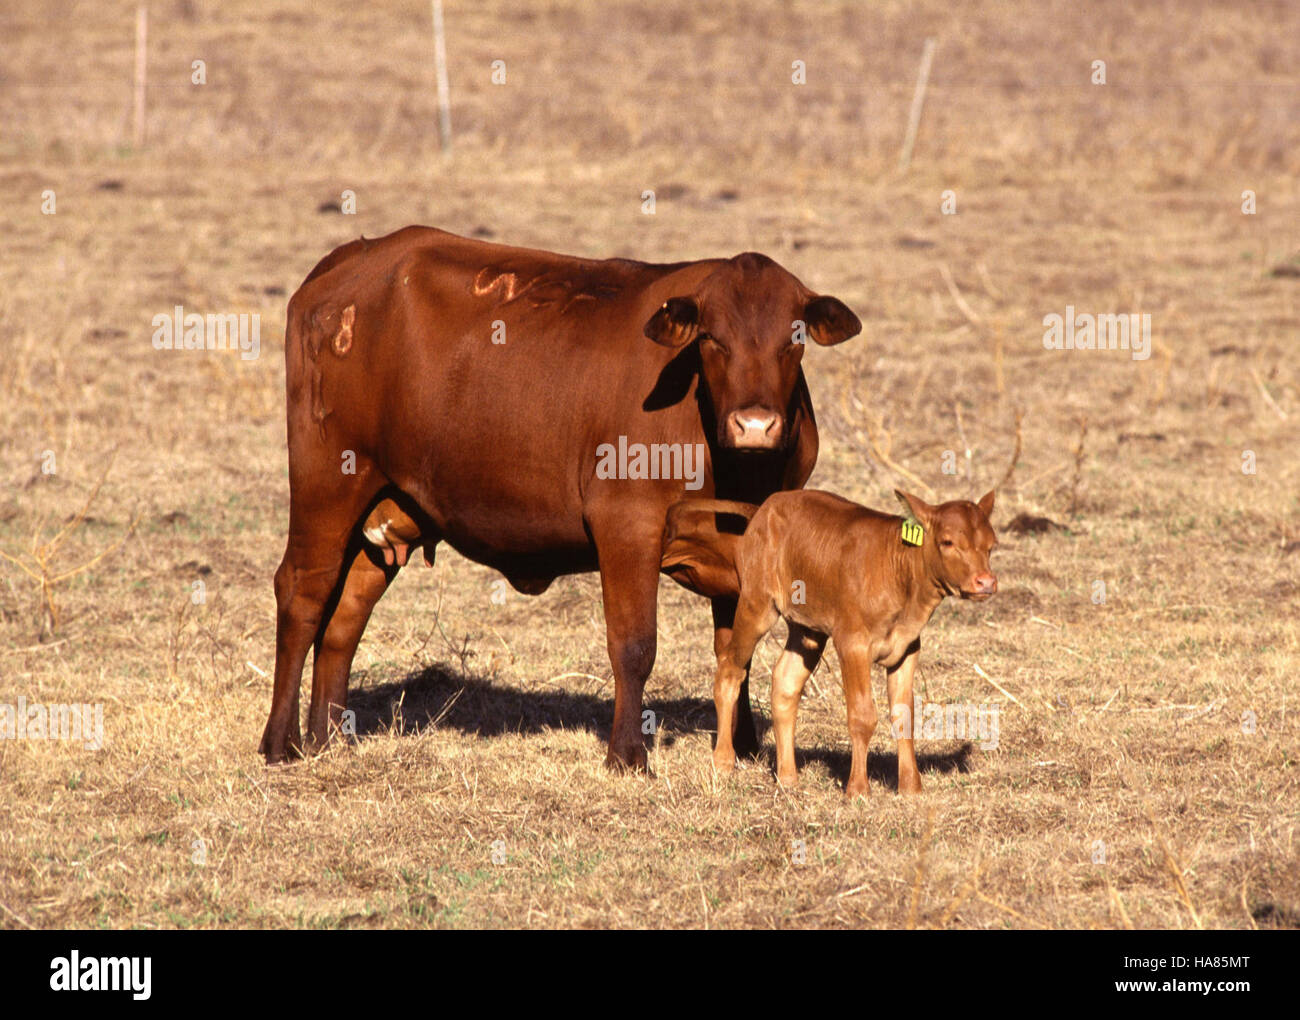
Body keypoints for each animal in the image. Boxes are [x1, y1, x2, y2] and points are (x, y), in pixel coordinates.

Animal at [258, 226, 861, 771]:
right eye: (712, 338)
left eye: (794, 337)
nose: (755, 424)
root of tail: (356, 255)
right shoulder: (626, 527)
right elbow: (634, 645)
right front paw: (628, 755)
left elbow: (737, 648)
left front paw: (745, 747)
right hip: (327, 483)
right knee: (303, 594)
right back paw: (280, 743)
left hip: (387, 507)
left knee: (345, 617)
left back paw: (330, 738)